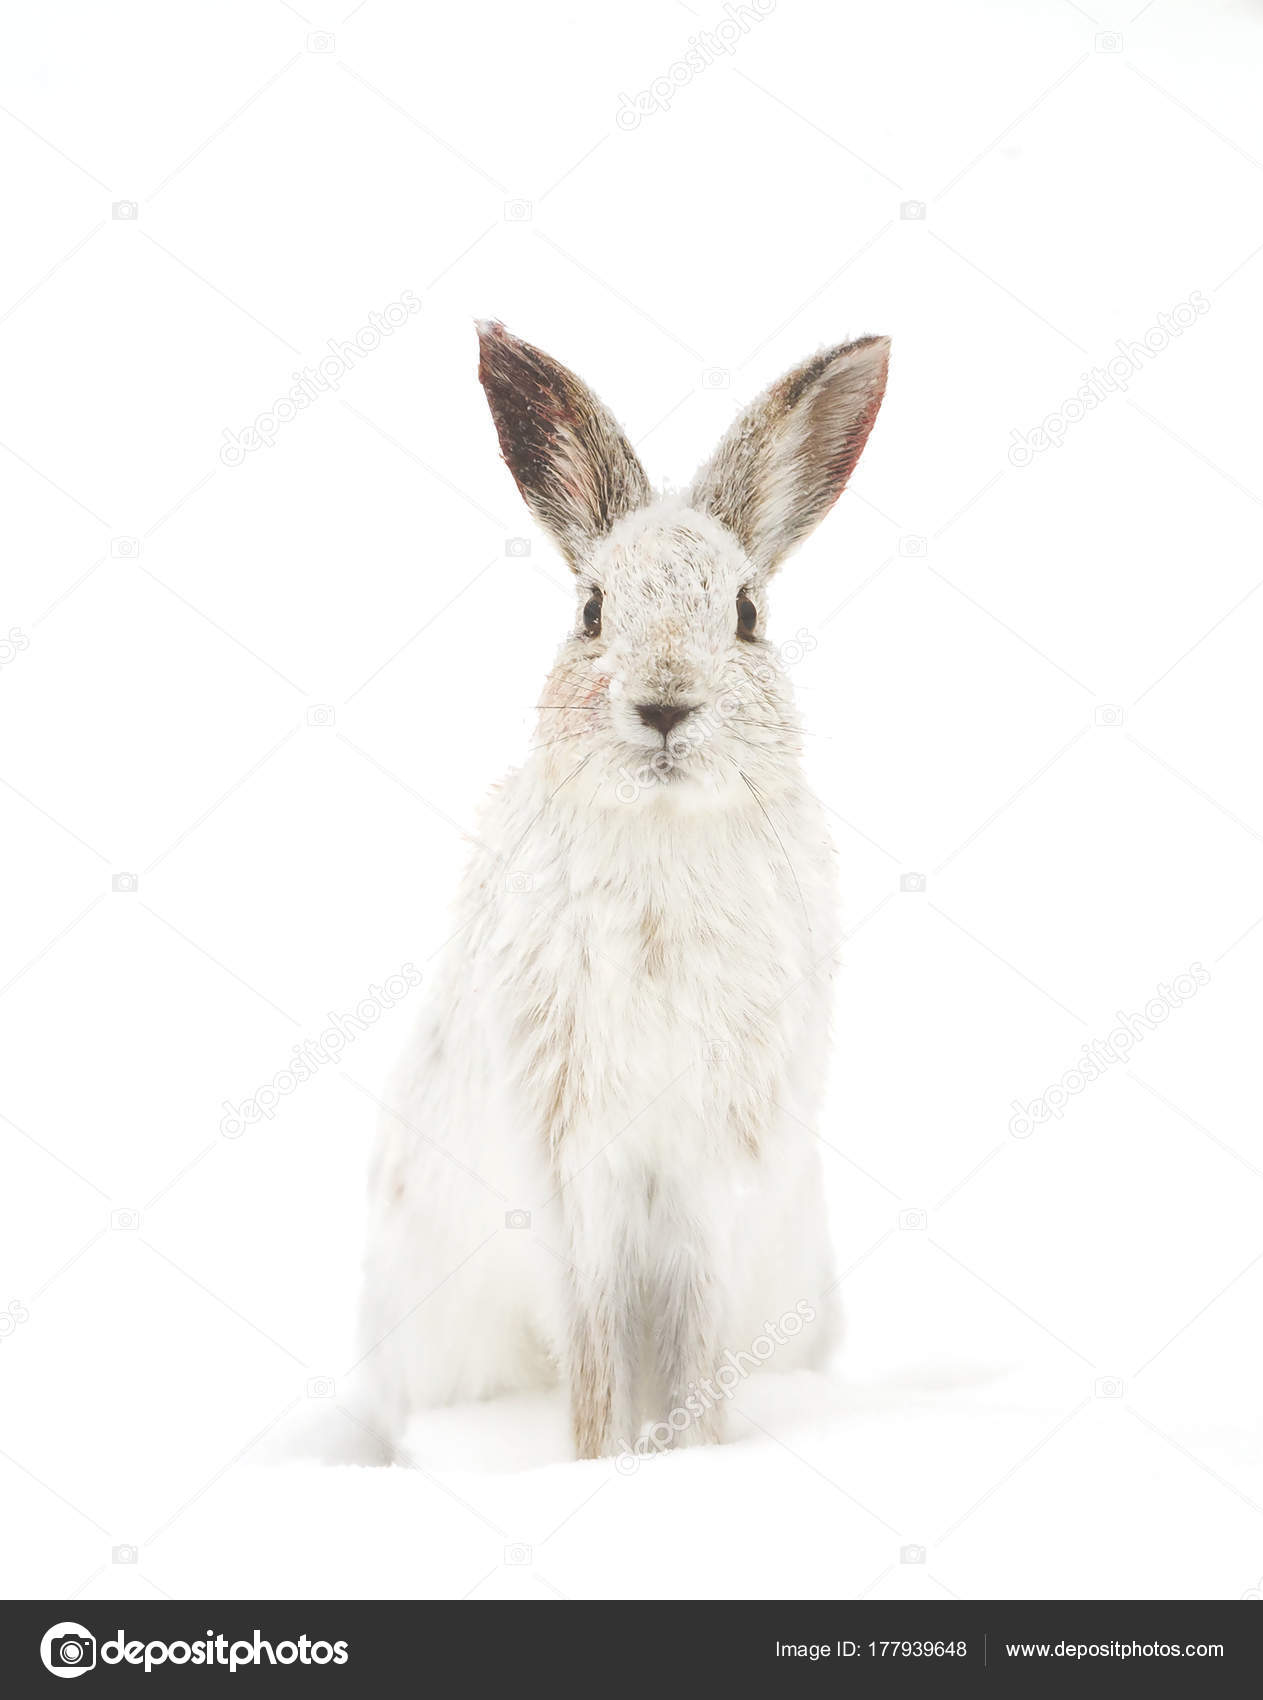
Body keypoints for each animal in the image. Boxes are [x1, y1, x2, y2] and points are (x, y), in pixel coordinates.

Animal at [355, 320, 890, 1462]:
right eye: (592, 610)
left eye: (746, 614)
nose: (664, 705)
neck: (665, 832)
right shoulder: (574, 1169)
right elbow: (599, 1348)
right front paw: (601, 1462)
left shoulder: (709, 1177)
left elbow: (694, 1342)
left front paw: (690, 1457)